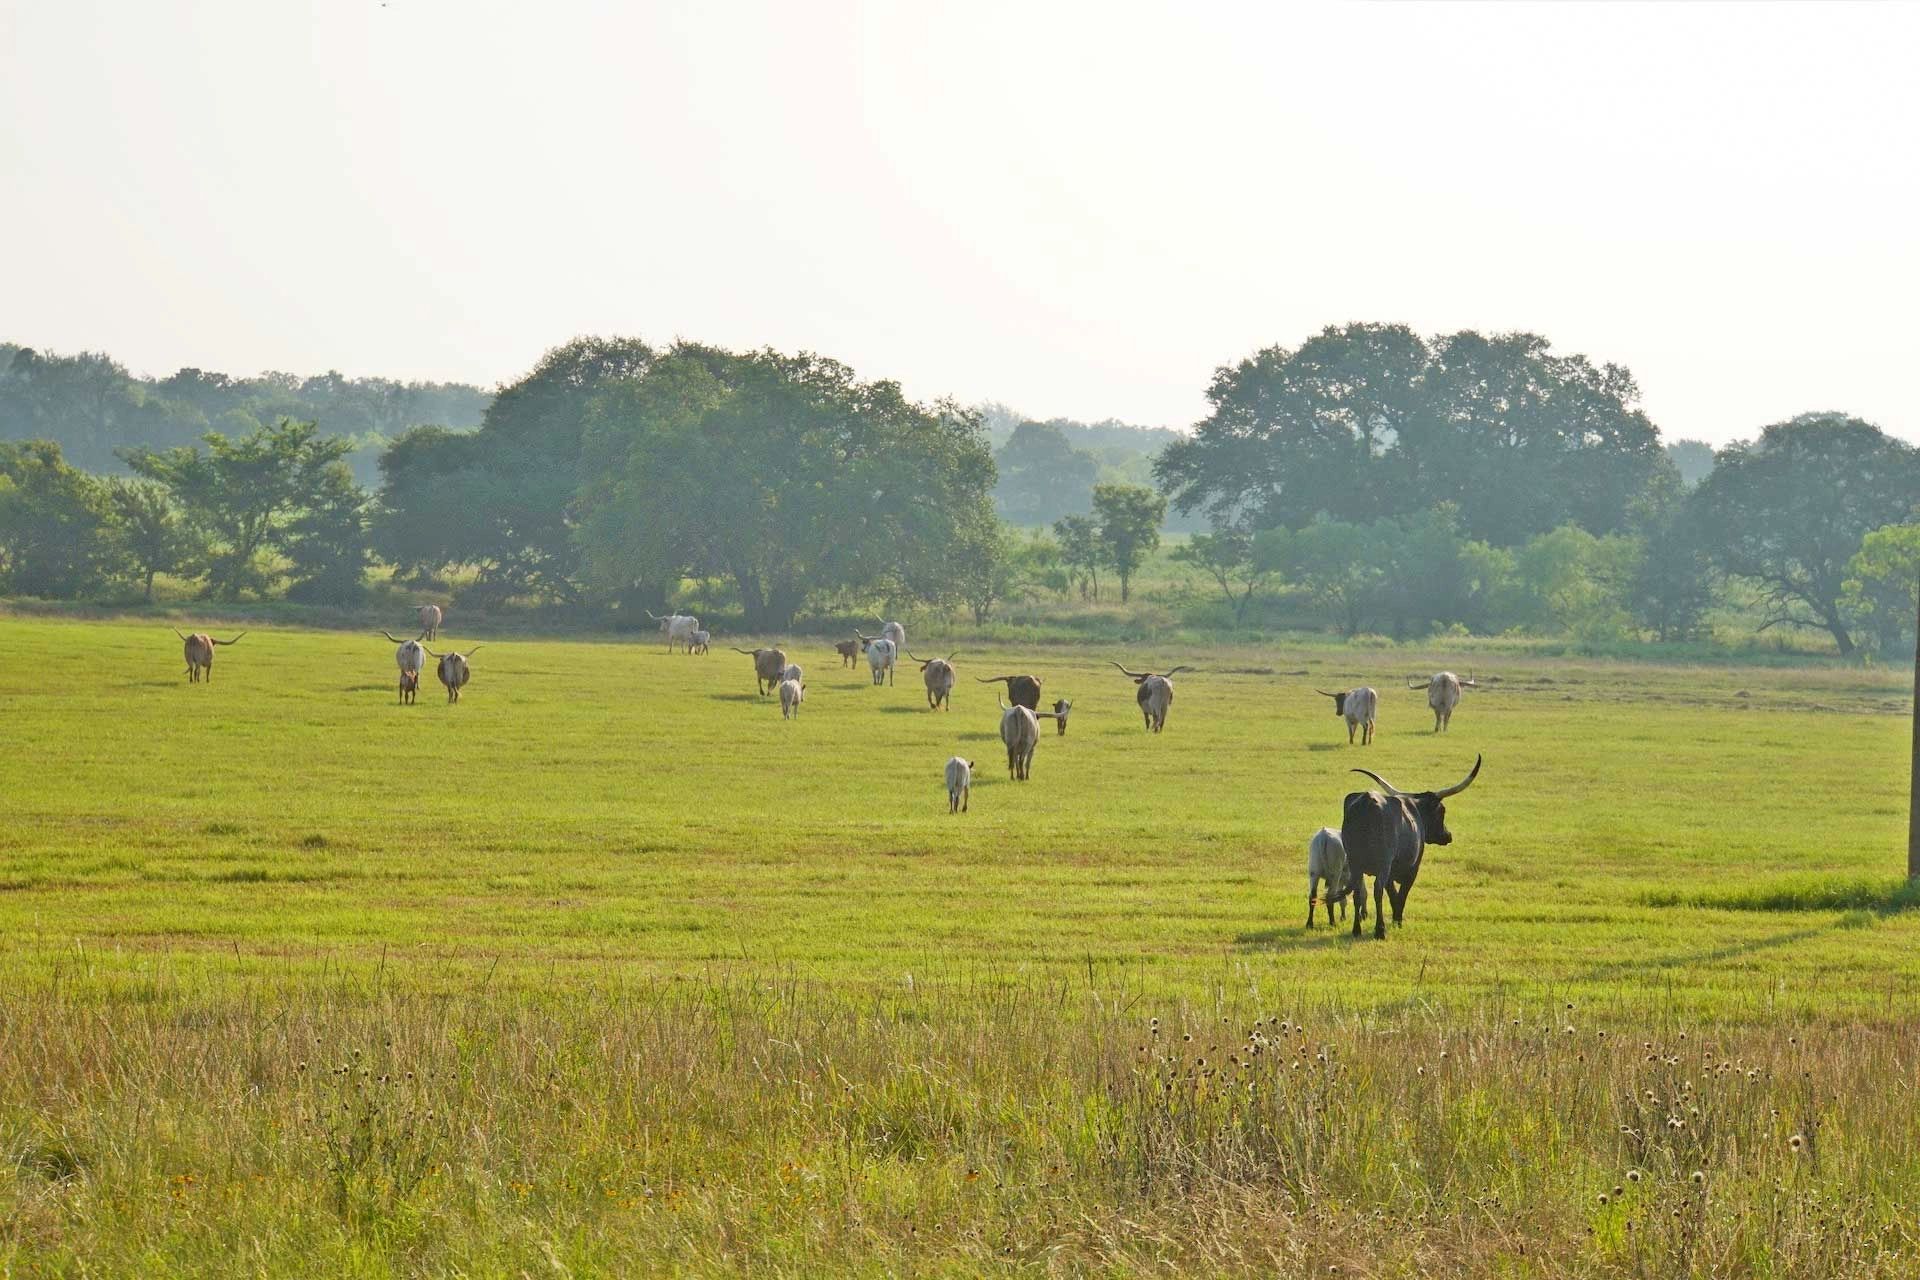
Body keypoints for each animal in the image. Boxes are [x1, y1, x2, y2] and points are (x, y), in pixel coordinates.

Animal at [1341, 755, 1482, 939]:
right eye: (1442, 811)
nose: (1448, 836)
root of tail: (1367, 801)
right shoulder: (1412, 869)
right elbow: (1401, 895)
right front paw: (1397, 921)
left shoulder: (1390, 871)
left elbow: (1393, 895)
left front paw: (1396, 920)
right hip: (1382, 863)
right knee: (1377, 890)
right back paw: (1380, 930)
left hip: (1355, 862)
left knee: (1358, 892)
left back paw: (1356, 929)